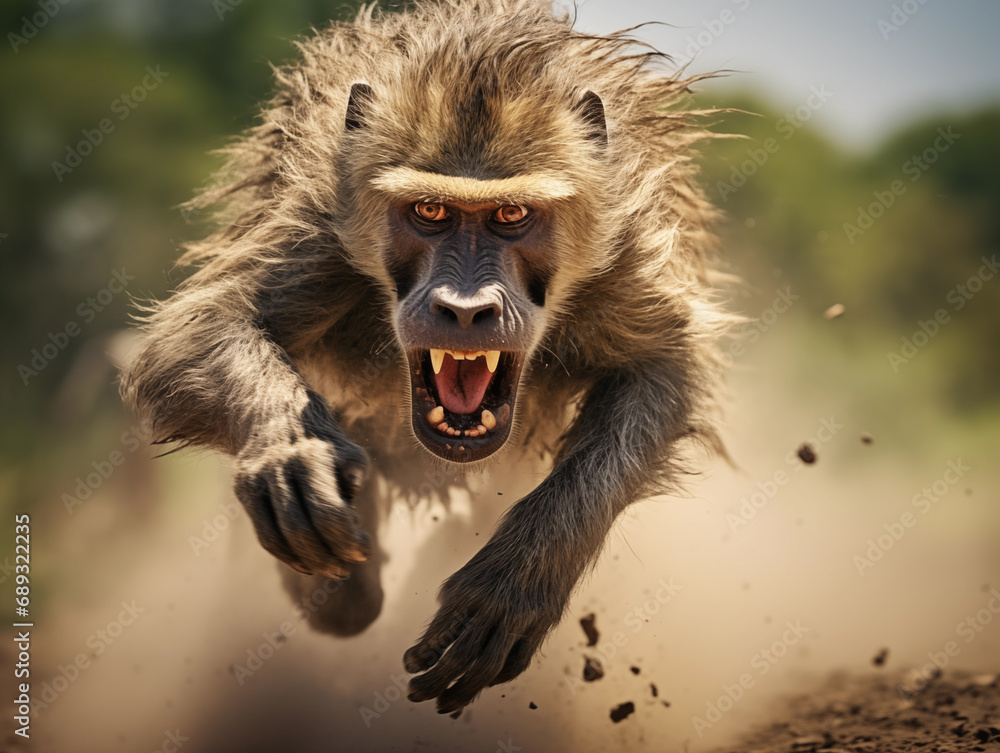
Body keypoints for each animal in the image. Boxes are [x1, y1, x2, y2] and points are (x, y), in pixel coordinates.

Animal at [119, 0, 732, 715]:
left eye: (511, 214)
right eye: (430, 211)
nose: (464, 310)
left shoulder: (625, 250)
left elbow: (662, 365)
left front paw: (520, 580)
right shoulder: (323, 220)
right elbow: (205, 324)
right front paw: (291, 455)